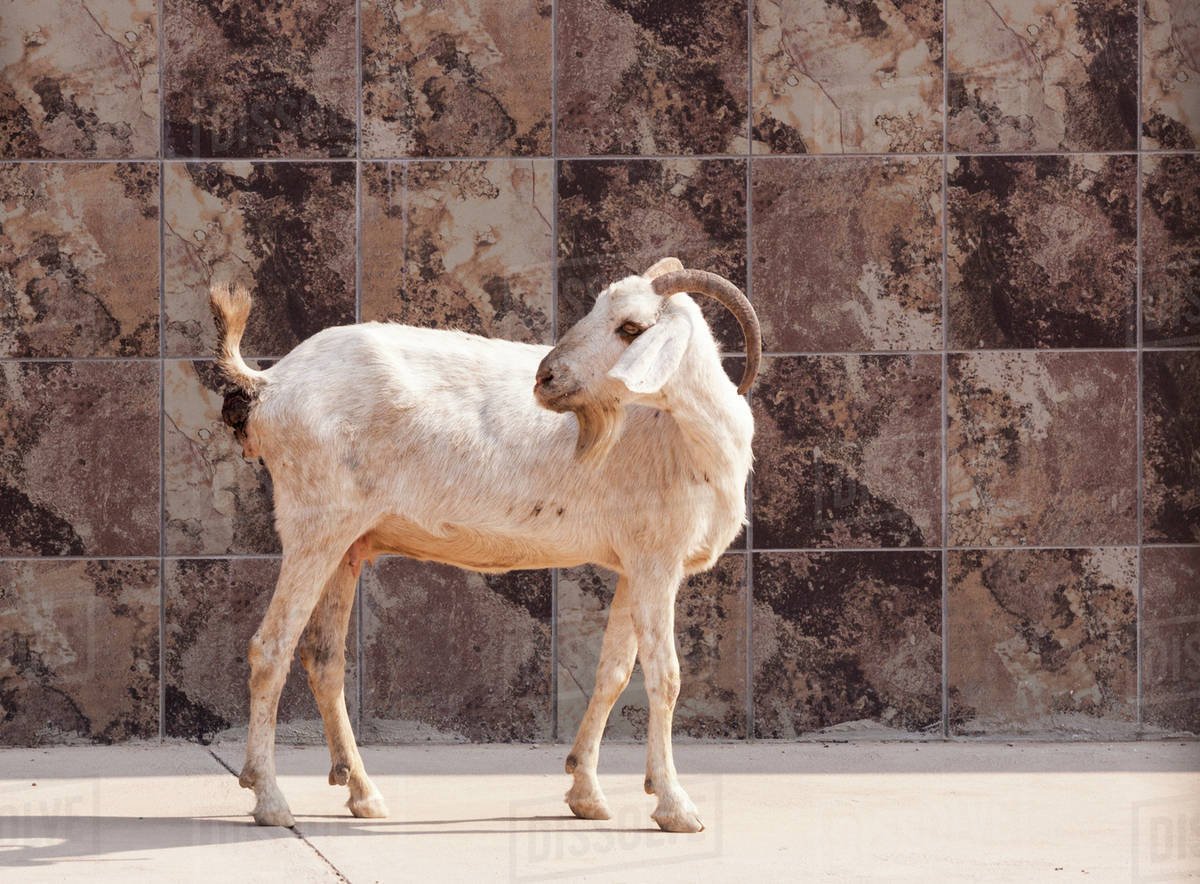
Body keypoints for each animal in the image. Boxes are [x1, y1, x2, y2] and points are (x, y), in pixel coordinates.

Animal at [208, 257, 761, 833]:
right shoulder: (658, 562)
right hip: (313, 527)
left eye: (631, 328)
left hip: (346, 544)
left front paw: (586, 794)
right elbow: (665, 677)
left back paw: (362, 793)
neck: (685, 435)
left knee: (323, 658)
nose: (546, 377)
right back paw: (269, 797)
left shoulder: (635, 564)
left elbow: (611, 673)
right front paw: (676, 806)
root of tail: (269, 383)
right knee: (271, 648)